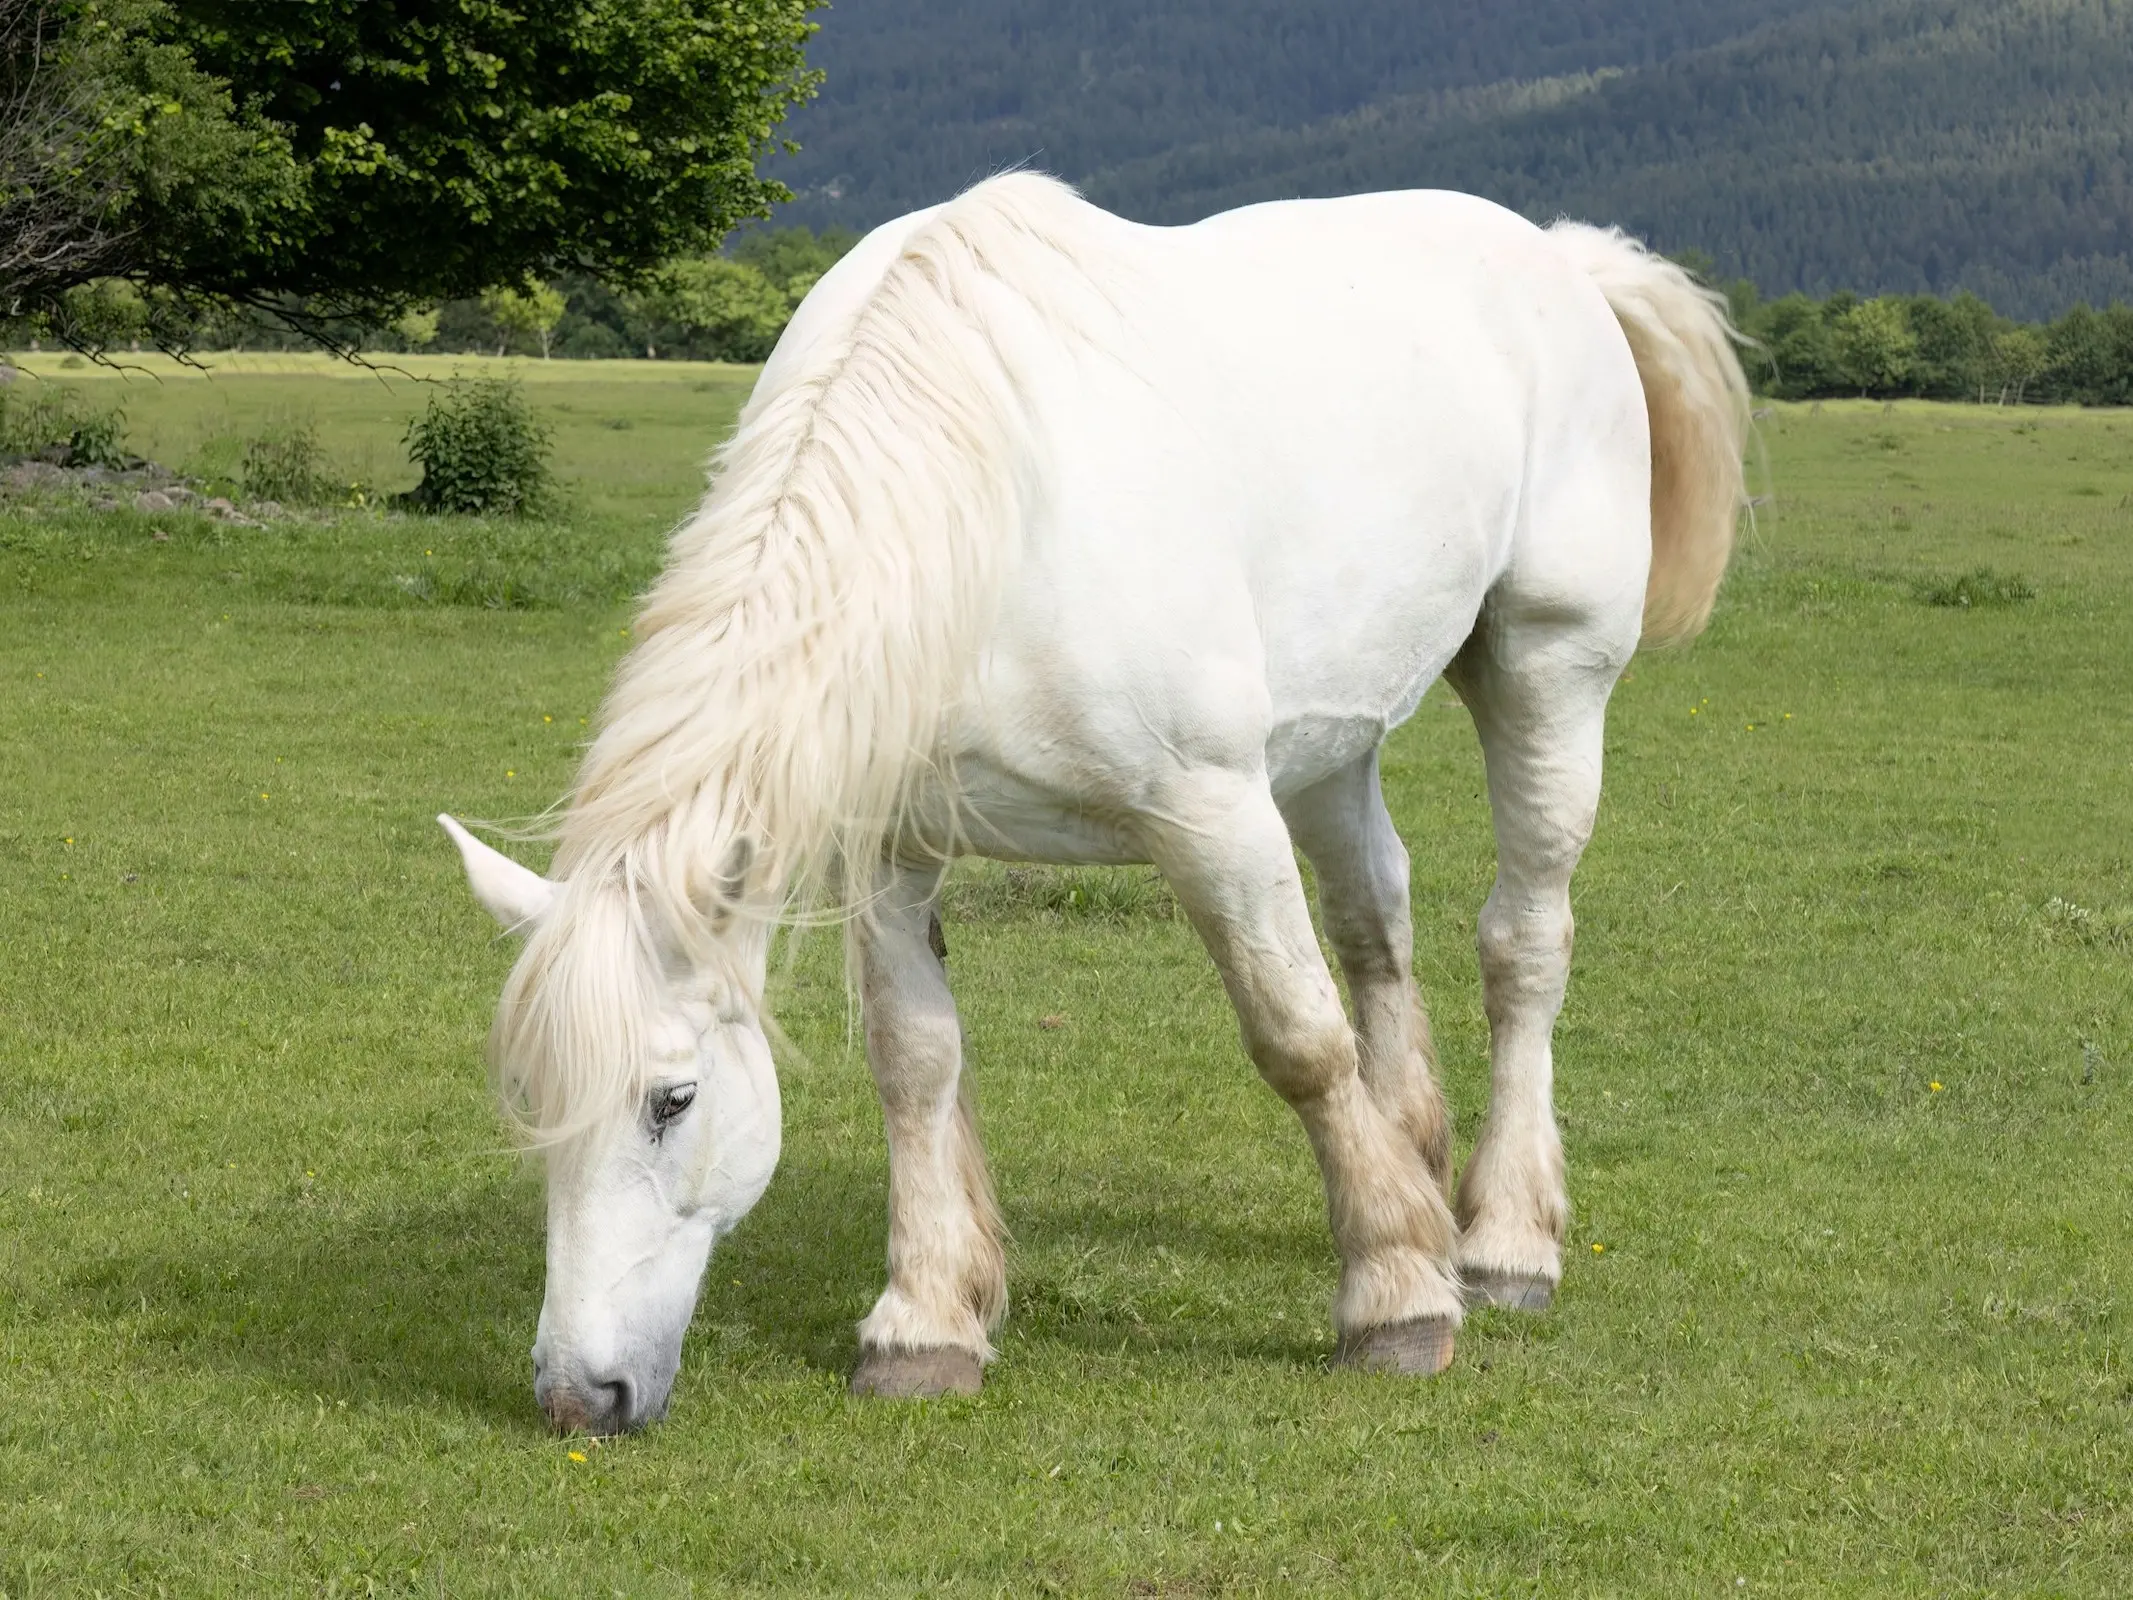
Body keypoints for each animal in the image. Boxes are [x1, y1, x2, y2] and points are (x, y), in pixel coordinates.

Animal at [441, 172, 1749, 1434]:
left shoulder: (1213, 814)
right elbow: (913, 1058)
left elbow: (1298, 1037)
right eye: (530, 1098)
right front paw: (925, 1320)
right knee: (1377, 920)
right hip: (1331, 738)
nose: (579, 1394)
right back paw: (1416, 1165)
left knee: (1522, 941)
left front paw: (1392, 1297)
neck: (984, 506)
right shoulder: (890, 846)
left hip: (1546, 669)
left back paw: (1503, 1237)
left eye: (672, 1100)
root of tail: (1558, 253)